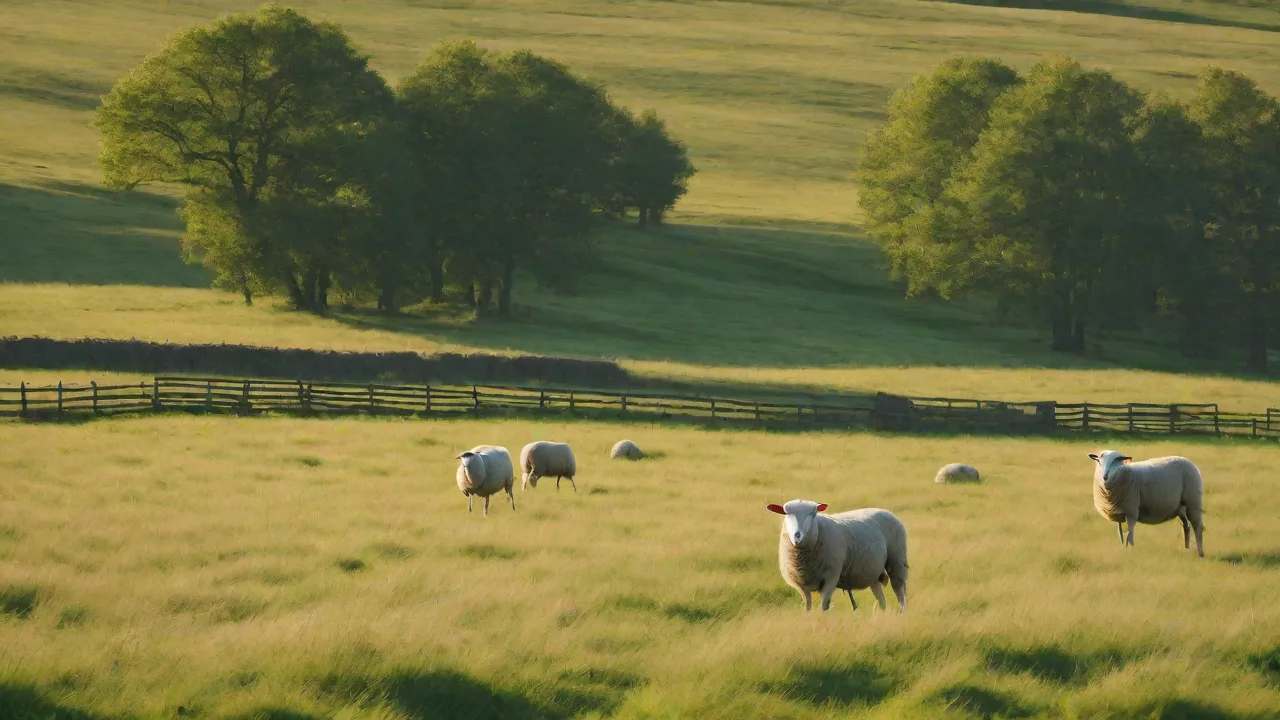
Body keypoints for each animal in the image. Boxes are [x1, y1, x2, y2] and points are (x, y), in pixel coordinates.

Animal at [766, 499, 908, 613]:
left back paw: (902, 611)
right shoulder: (799, 584)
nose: (798, 536)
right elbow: (807, 605)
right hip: (872, 571)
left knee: (899, 589)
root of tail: (886, 511)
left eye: (813, 513)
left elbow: (824, 606)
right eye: (786, 513)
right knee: (881, 598)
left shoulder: (831, 577)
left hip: (897, 559)